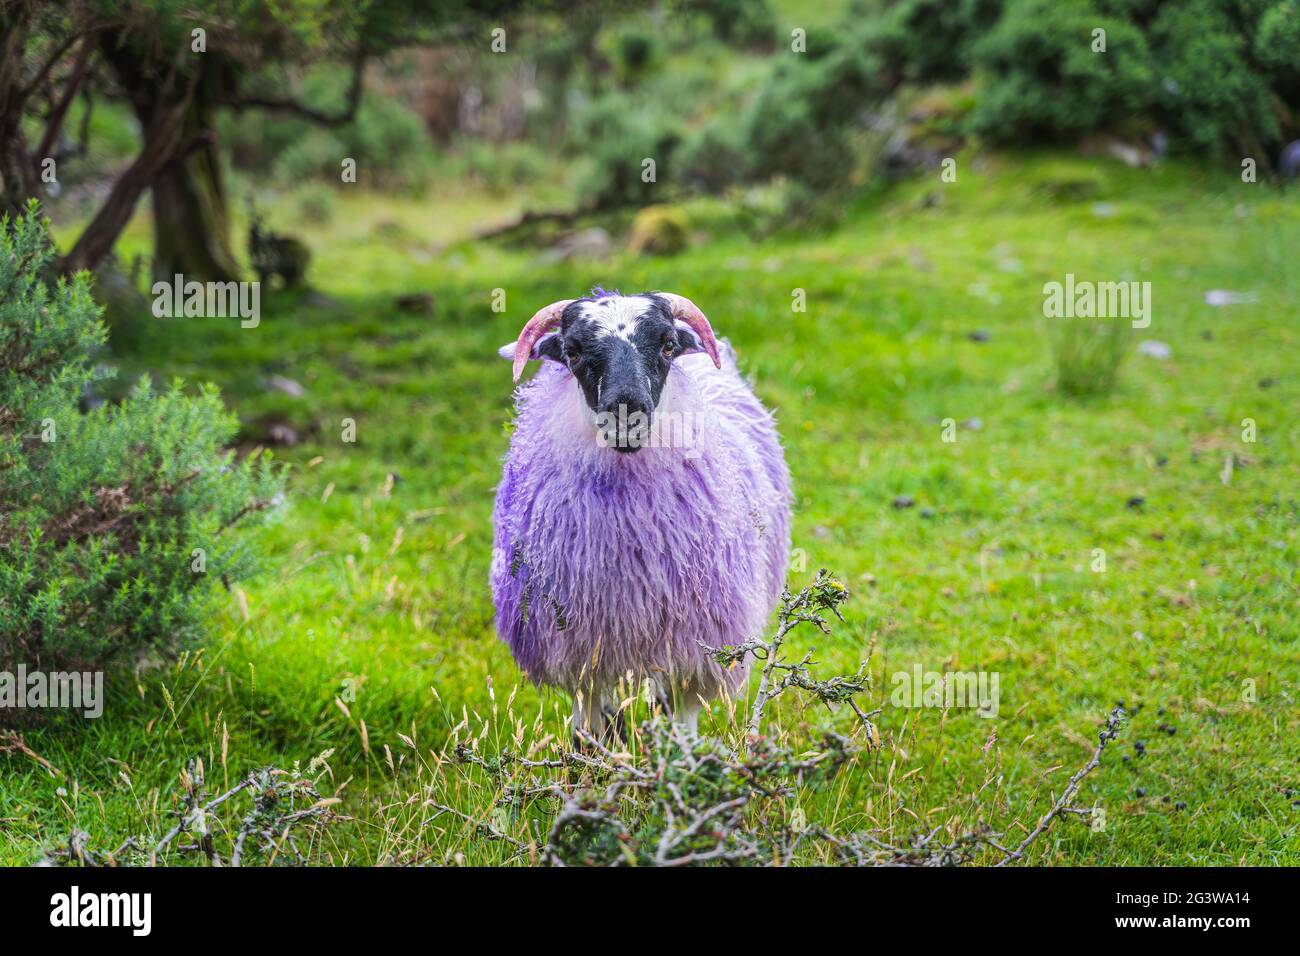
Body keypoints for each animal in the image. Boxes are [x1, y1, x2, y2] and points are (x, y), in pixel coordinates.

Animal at [491, 290, 791, 737]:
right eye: (572, 351)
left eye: (667, 345)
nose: (625, 413)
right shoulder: (576, 653)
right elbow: (586, 732)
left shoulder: (695, 650)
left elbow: (682, 723)